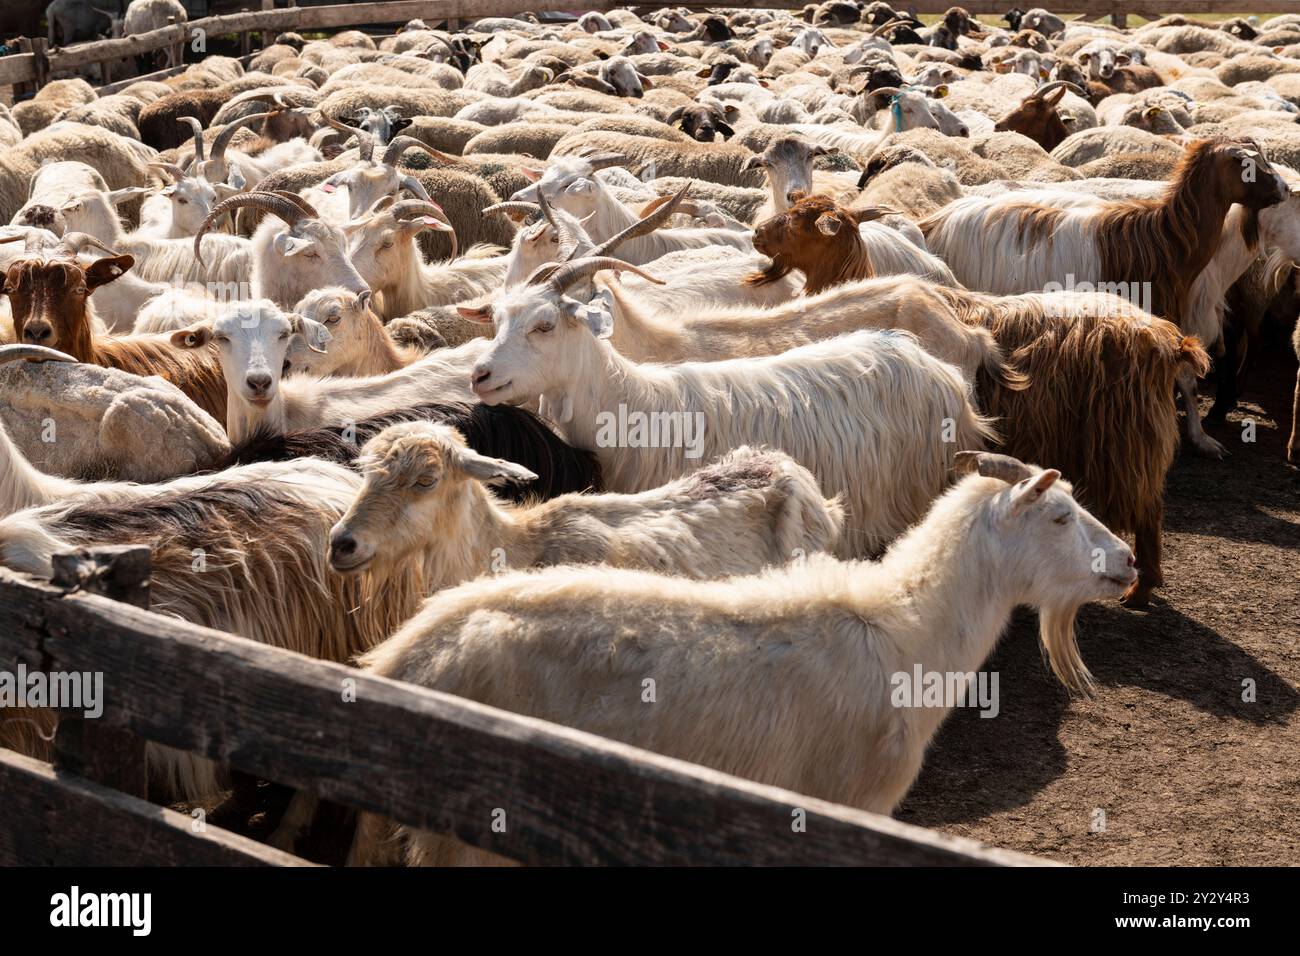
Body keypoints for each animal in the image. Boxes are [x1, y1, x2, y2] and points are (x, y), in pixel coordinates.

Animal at [355, 450, 1134, 865]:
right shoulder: (842, 805)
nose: (1126, 560)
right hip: (466, 834)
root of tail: (406, 653)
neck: (906, 630)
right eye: (1060, 515)